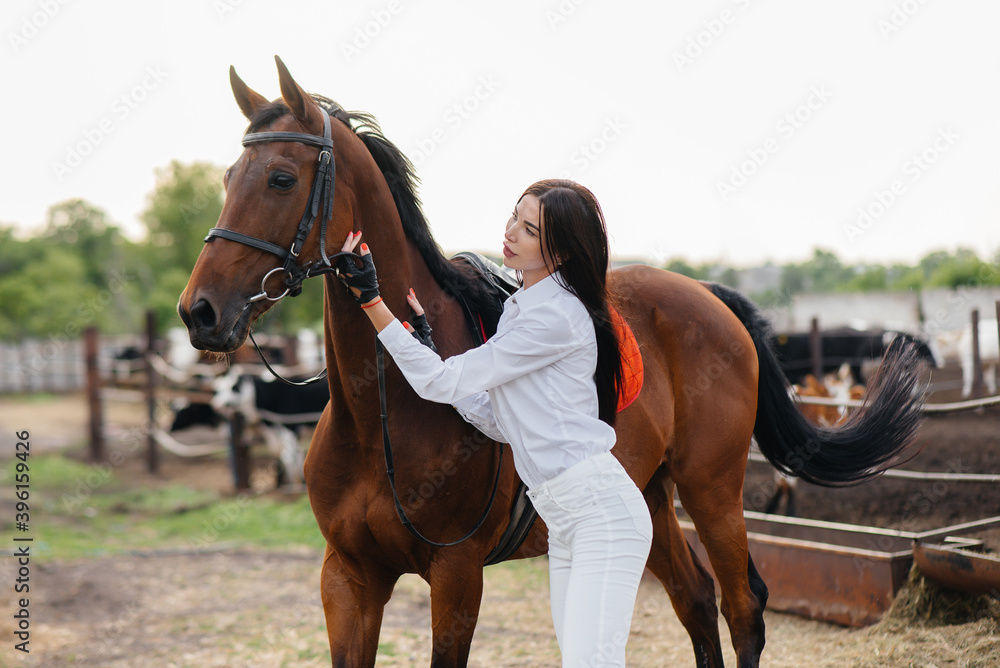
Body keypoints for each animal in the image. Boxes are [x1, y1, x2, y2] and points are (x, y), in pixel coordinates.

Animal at [177, 57, 924, 668]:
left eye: (280, 177)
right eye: (228, 177)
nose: (199, 312)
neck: (379, 415)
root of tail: (708, 295)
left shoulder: (456, 576)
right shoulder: (348, 579)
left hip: (712, 492)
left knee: (743, 609)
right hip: (652, 499)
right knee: (696, 603)